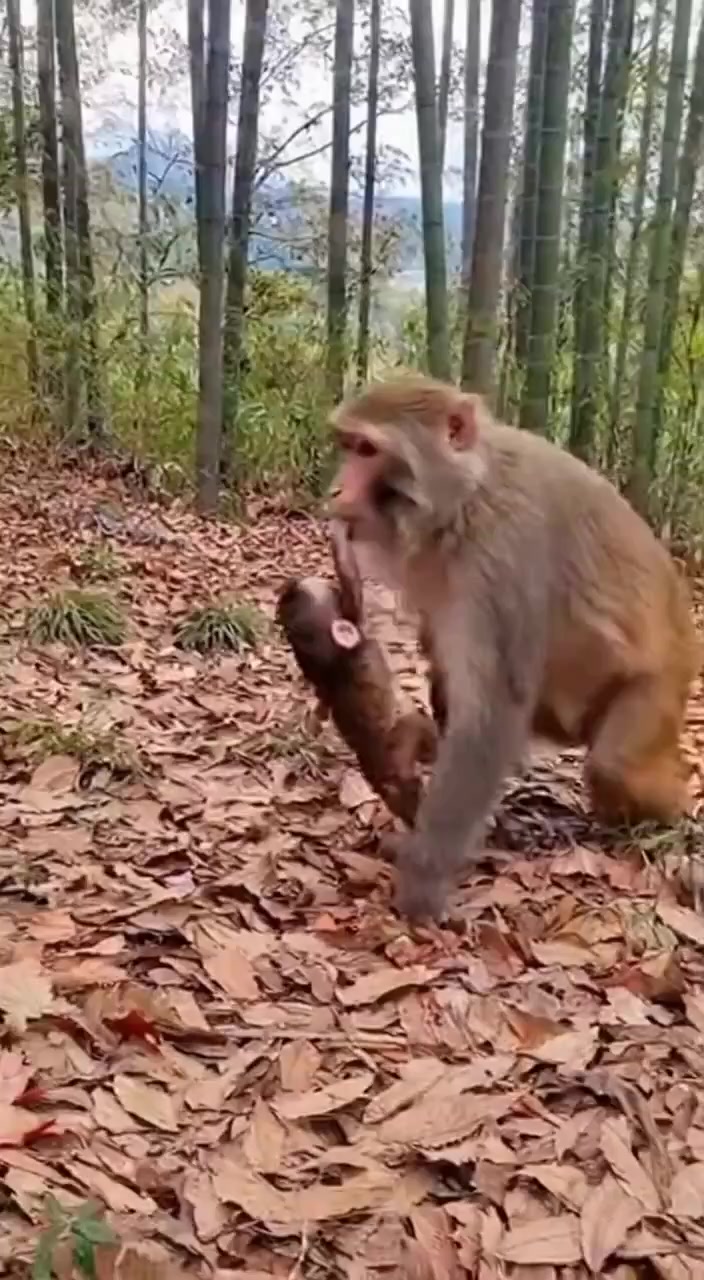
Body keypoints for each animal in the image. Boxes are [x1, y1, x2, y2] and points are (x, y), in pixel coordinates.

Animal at [327, 373, 700, 922]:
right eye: (348, 446)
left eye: (368, 450)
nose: (336, 488)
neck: (467, 497)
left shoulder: (502, 551)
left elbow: (492, 715)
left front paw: (422, 882)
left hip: (663, 683)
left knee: (613, 765)